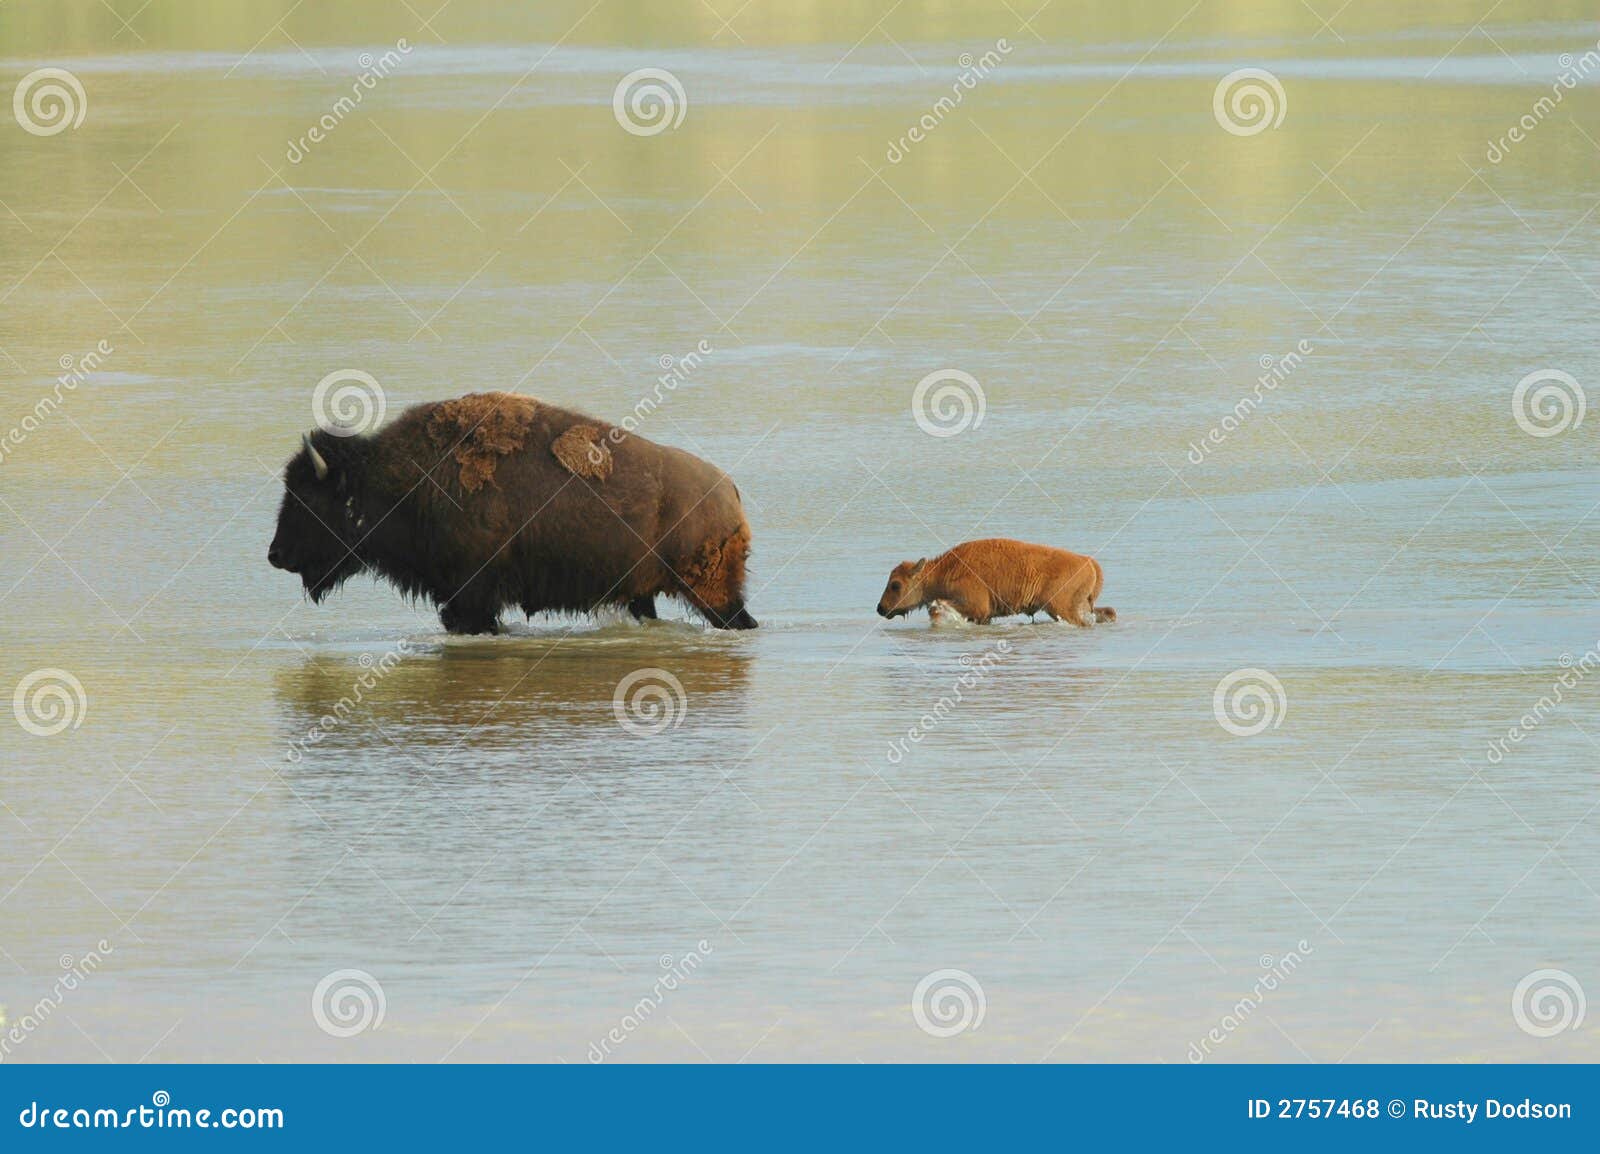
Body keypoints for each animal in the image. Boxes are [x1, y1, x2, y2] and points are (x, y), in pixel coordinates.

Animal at [268, 392, 757, 632]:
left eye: (309, 498)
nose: (275, 555)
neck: (398, 483)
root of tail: (729, 490)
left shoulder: (470, 600)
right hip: (644, 594)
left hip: (712, 592)